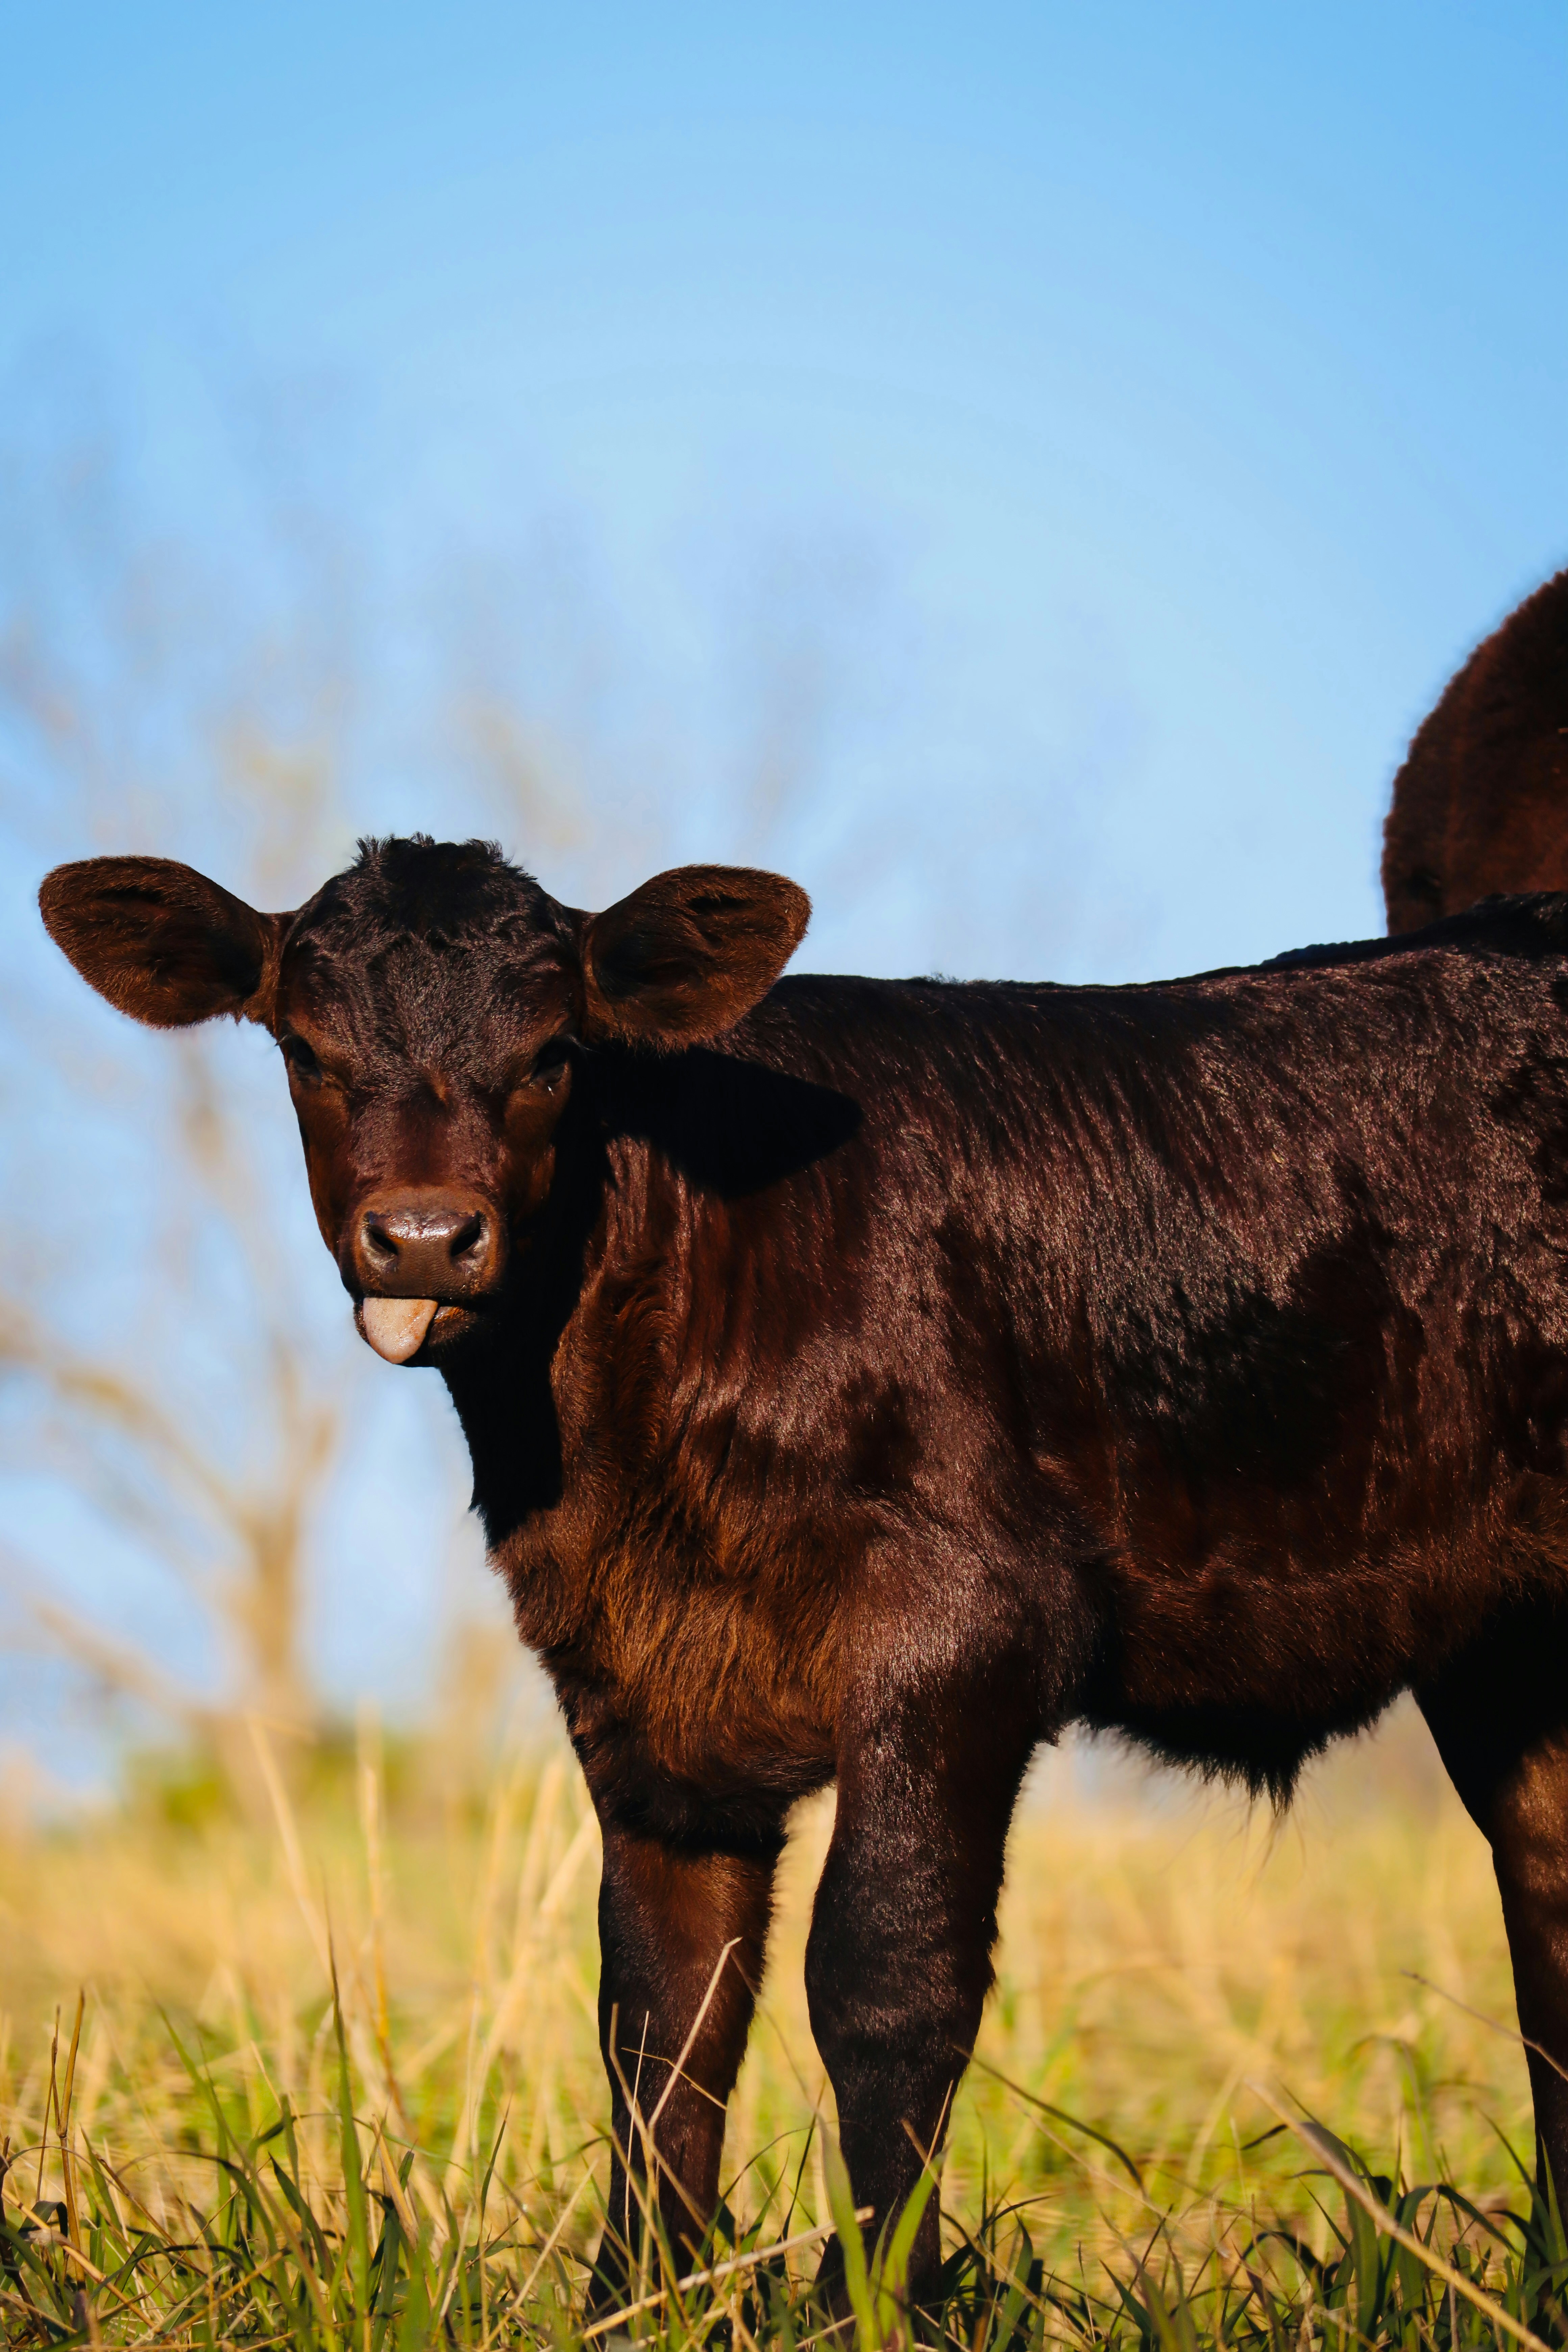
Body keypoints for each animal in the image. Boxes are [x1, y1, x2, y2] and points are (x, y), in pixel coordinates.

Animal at [37, 842, 1568, 2310]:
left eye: (555, 1050)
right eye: (304, 1047)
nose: (424, 1237)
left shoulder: (962, 1628)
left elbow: (884, 1975)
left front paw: (875, 2303)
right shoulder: (634, 1682)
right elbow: (661, 2008)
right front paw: (638, 2299)